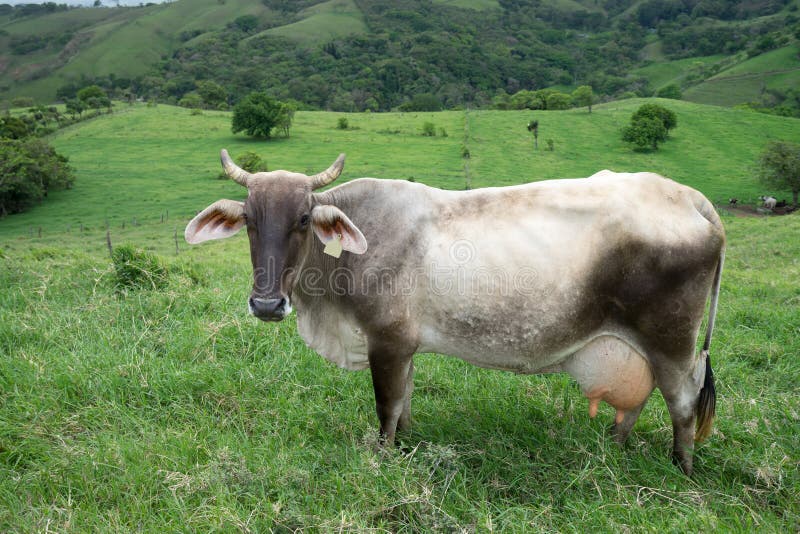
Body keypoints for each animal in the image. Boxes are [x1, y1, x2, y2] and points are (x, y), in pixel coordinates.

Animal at [185, 150, 725, 475]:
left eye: (302, 219)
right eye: (250, 220)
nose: (266, 303)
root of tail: (689, 196)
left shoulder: (386, 341)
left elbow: (386, 407)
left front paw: (385, 456)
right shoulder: (405, 348)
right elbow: (404, 402)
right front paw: (407, 443)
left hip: (673, 342)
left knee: (683, 401)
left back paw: (680, 468)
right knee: (638, 397)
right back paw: (613, 447)